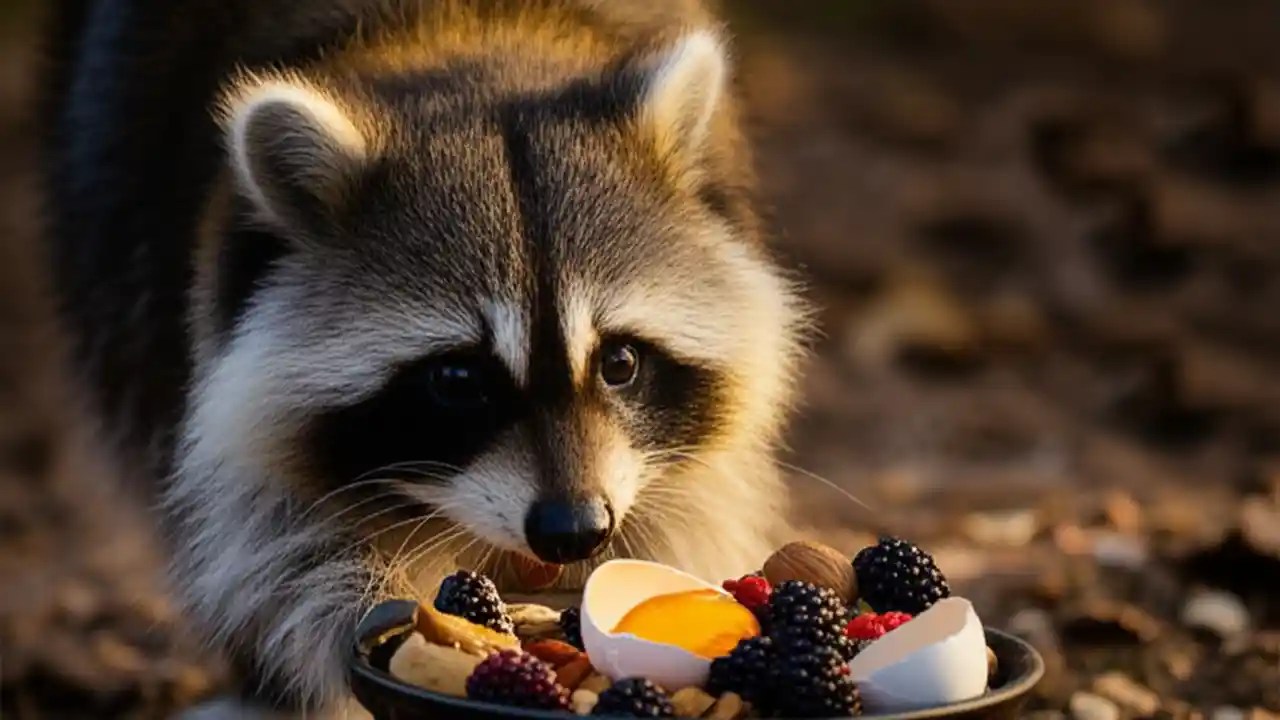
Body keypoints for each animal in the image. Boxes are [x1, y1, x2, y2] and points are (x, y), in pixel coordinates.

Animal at [40, 0, 807, 715]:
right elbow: (272, 533)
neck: (468, 50)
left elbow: (691, 497)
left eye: (620, 362)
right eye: (459, 379)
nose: (573, 532)